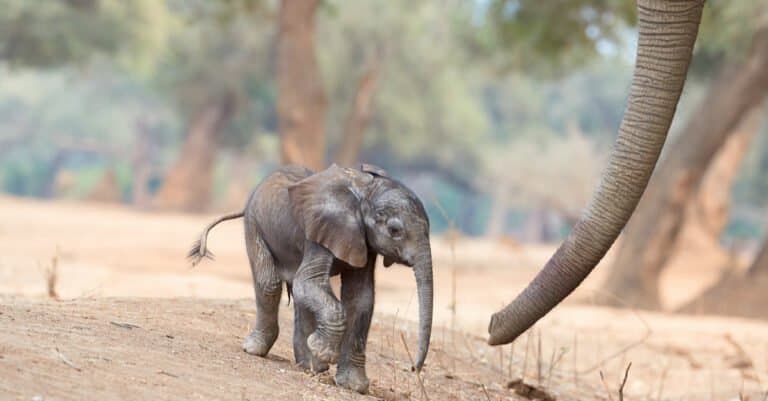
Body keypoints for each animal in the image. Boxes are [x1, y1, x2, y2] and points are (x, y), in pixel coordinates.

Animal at [188, 163, 432, 394]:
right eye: (394, 230)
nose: (413, 368)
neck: (364, 191)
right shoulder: (321, 229)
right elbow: (308, 283)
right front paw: (322, 349)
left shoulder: (363, 241)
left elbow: (360, 299)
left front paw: (353, 386)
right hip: (254, 223)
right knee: (270, 283)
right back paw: (256, 350)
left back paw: (310, 366)